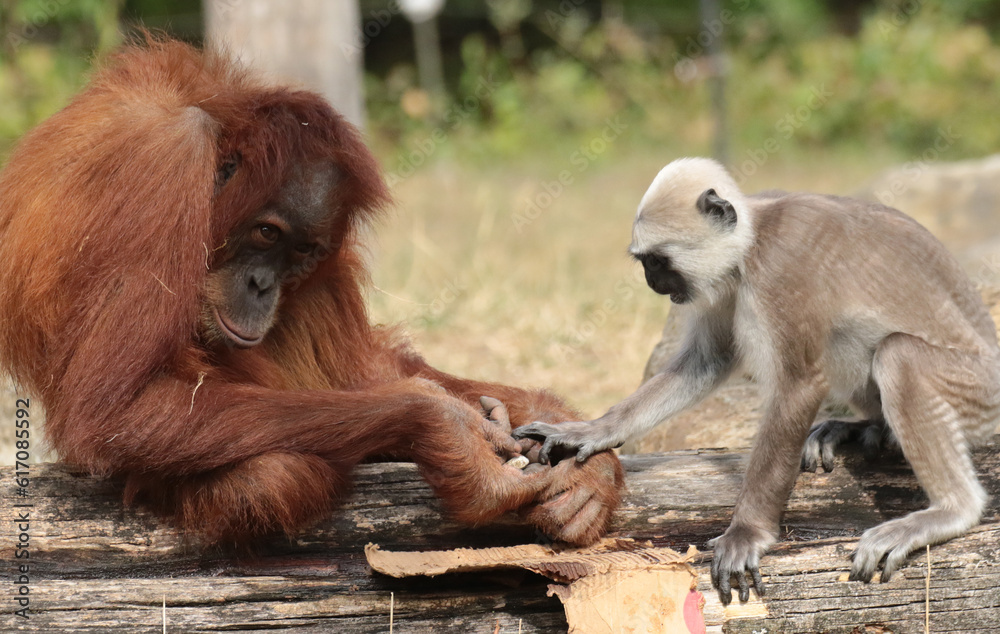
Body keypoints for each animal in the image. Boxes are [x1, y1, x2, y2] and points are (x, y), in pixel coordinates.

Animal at [515, 157, 1000, 604]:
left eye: (657, 261)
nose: (653, 282)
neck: (755, 235)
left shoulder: (780, 267)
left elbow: (798, 384)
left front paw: (747, 532)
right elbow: (709, 360)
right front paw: (592, 430)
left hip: (979, 393)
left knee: (898, 355)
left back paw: (952, 511)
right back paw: (868, 426)